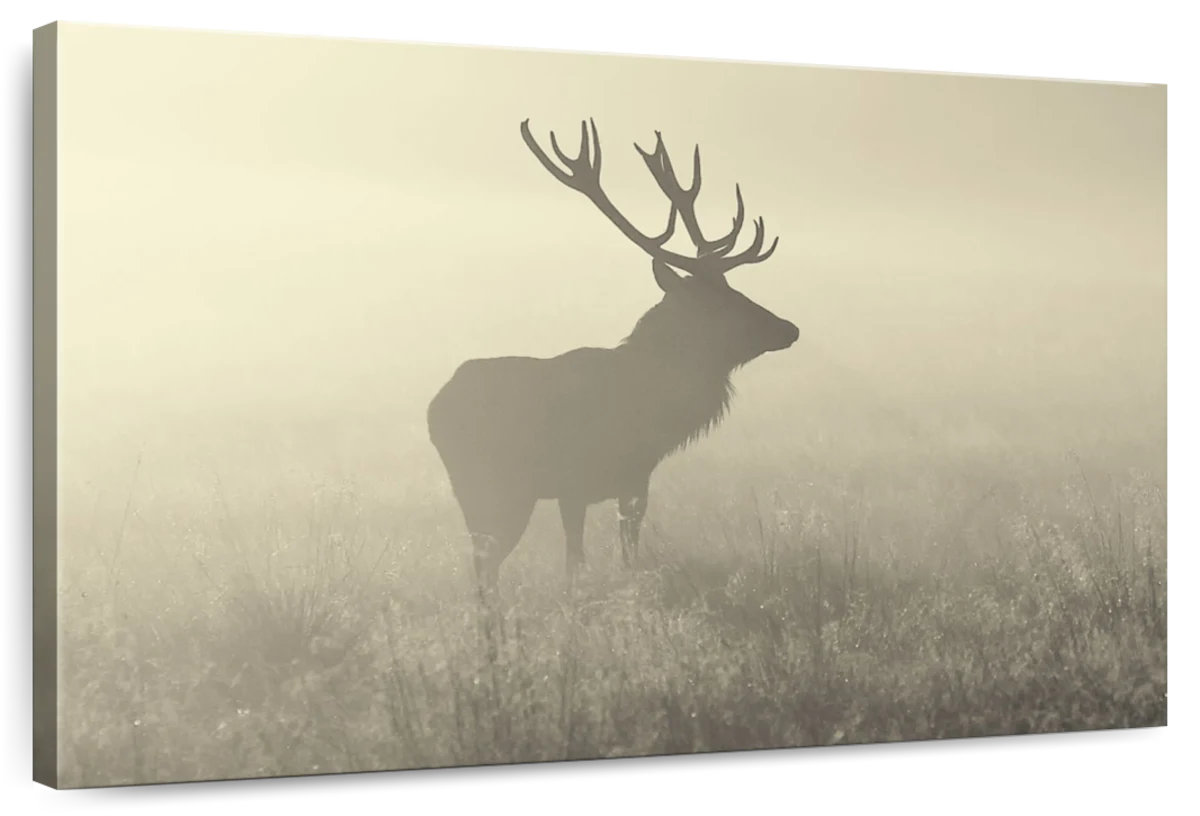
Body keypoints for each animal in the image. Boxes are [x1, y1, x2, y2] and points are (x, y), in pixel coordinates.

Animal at [428, 119, 798, 601]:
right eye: (719, 302)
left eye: (735, 289)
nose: (789, 328)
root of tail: (434, 408)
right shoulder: (573, 481)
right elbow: (575, 562)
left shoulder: (635, 480)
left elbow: (626, 554)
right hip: (495, 485)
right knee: (485, 568)